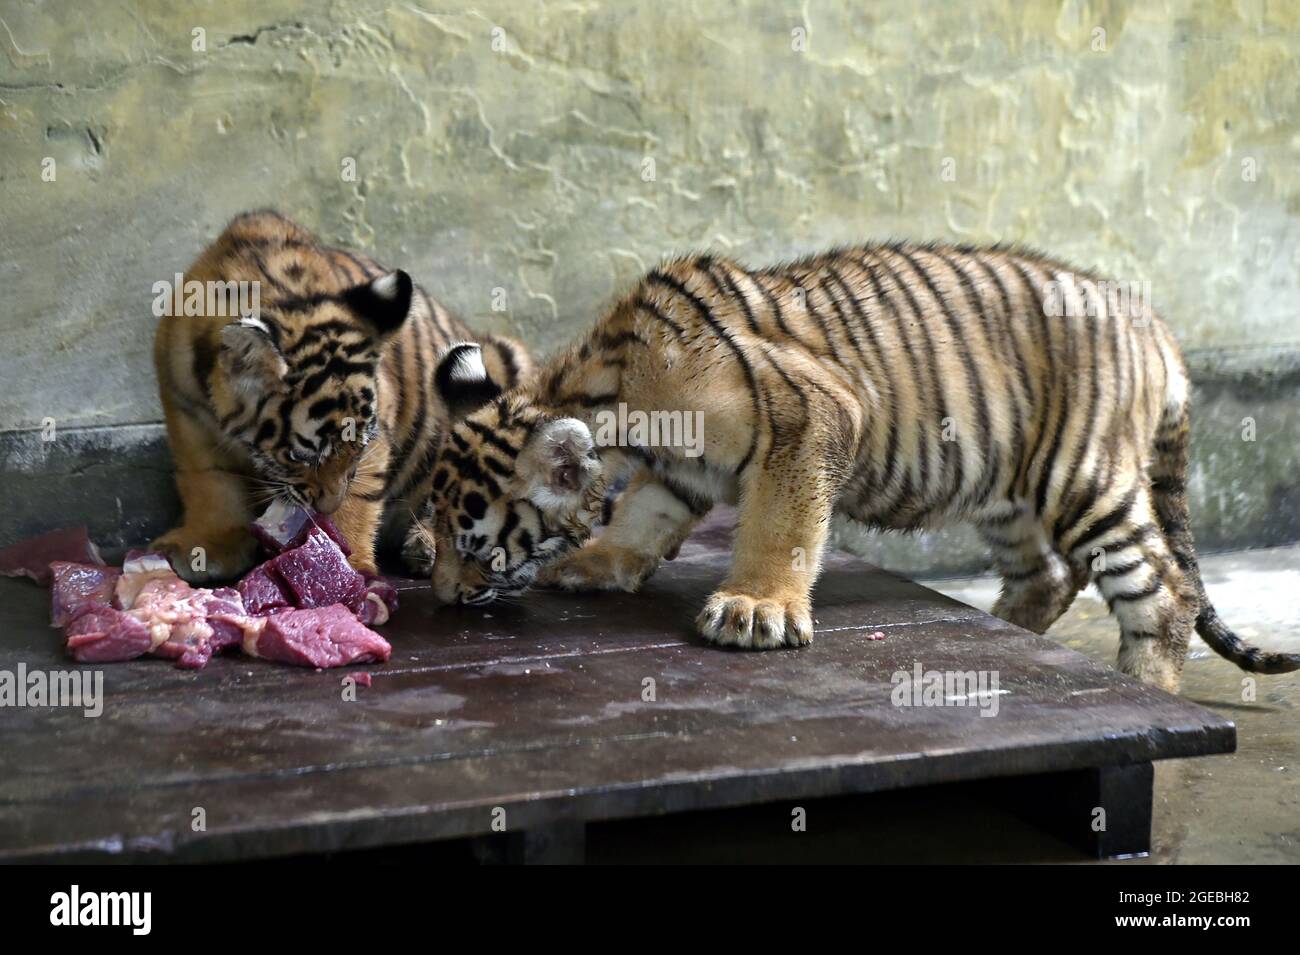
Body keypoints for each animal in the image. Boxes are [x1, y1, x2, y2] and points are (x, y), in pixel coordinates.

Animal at [151, 209, 531, 583]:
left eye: (360, 446)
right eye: (299, 455)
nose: (326, 507)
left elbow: (358, 496)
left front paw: (348, 565)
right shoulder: (187, 411)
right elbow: (212, 481)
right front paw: (205, 549)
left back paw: (428, 546)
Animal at [415, 240, 1298, 694]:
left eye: (473, 541)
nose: (448, 597)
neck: (613, 386)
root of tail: (1157, 324)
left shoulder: (811, 415)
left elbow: (781, 524)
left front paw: (756, 609)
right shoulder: (679, 471)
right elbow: (641, 514)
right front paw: (596, 563)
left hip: (1083, 475)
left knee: (1166, 593)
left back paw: (1142, 683)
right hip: (1002, 487)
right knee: (1050, 573)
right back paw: (1007, 629)